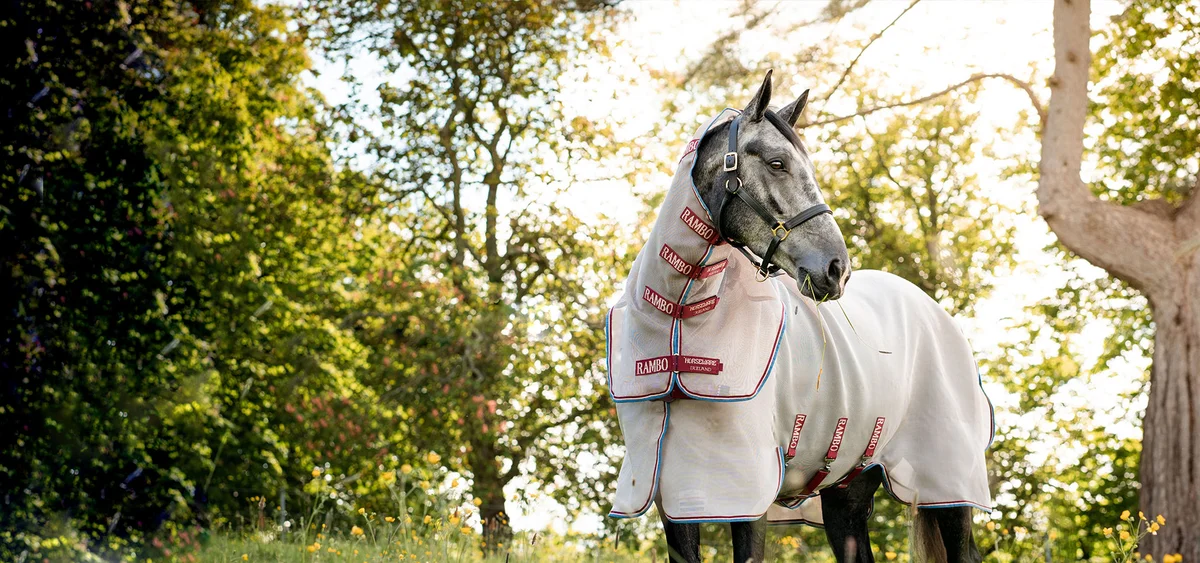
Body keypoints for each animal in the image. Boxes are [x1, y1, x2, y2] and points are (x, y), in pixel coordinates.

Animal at [605, 70, 993, 563]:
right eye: (777, 163)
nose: (837, 269)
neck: (681, 315)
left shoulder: (748, 493)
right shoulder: (674, 495)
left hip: (948, 486)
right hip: (847, 496)